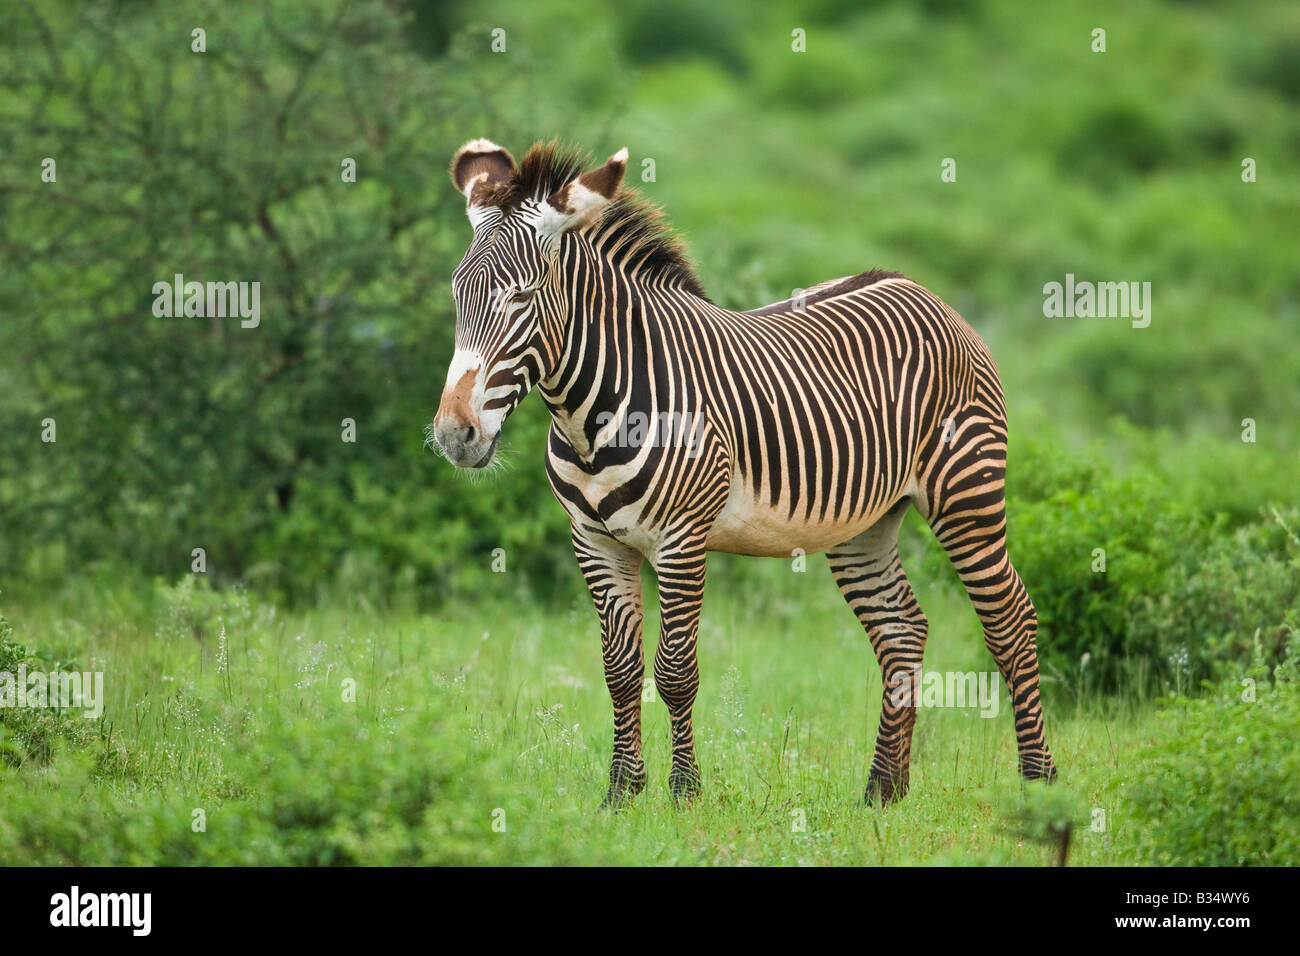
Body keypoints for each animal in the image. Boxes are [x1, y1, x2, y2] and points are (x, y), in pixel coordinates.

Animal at [433, 138, 1058, 808]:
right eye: (456, 294)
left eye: (521, 297)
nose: (454, 435)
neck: (588, 418)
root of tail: (920, 289)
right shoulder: (595, 541)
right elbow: (620, 670)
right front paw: (621, 794)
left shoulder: (682, 539)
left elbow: (675, 670)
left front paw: (684, 792)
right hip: (865, 522)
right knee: (901, 630)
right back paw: (884, 790)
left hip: (966, 492)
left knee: (1010, 620)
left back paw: (1039, 780)